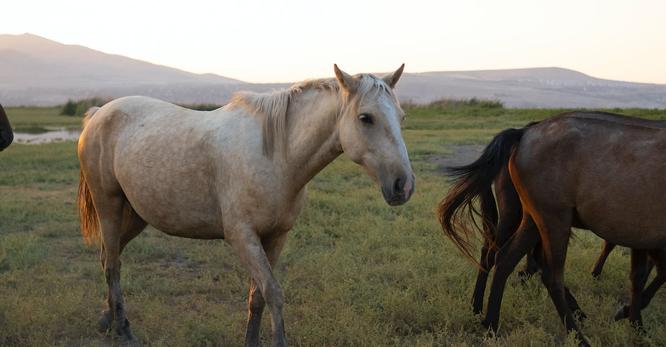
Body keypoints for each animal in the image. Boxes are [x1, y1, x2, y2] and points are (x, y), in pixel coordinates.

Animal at [76, 64, 410, 346]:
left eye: (401, 117)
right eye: (365, 117)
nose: (402, 185)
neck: (275, 155)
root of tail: (98, 113)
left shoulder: (275, 237)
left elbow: (258, 296)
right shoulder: (242, 236)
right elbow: (273, 292)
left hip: (135, 215)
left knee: (109, 257)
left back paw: (107, 319)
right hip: (109, 205)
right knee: (112, 263)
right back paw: (123, 329)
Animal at [438, 113, 660, 346]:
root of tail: (522, 133)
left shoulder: (639, 234)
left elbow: (641, 273)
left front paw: (634, 319)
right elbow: (645, 273)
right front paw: (633, 319)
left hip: (533, 219)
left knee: (502, 256)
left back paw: (487, 317)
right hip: (534, 216)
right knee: (537, 268)